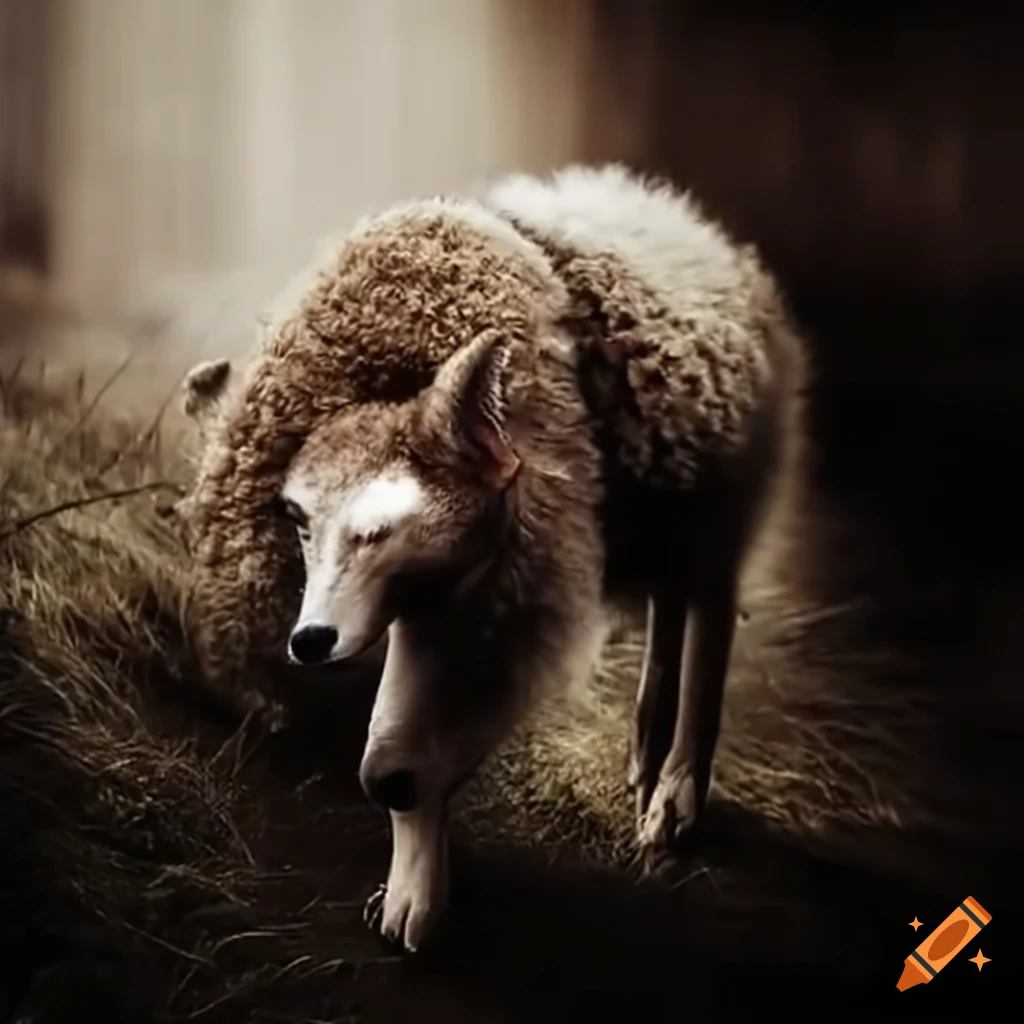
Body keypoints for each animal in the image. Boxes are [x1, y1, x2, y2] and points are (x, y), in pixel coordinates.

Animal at [179, 165, 806, 954]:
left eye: (380, 527)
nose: (310, 641)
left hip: (717, 517)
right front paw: (412, 889)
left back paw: (677, 789)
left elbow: (398, 764)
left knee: (708, 627)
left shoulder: (501, 591)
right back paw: (643, 753)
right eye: (294, 517)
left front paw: (417, 901)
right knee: (668, 612)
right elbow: (388, 760)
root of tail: (681, 215)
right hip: (659, 522)